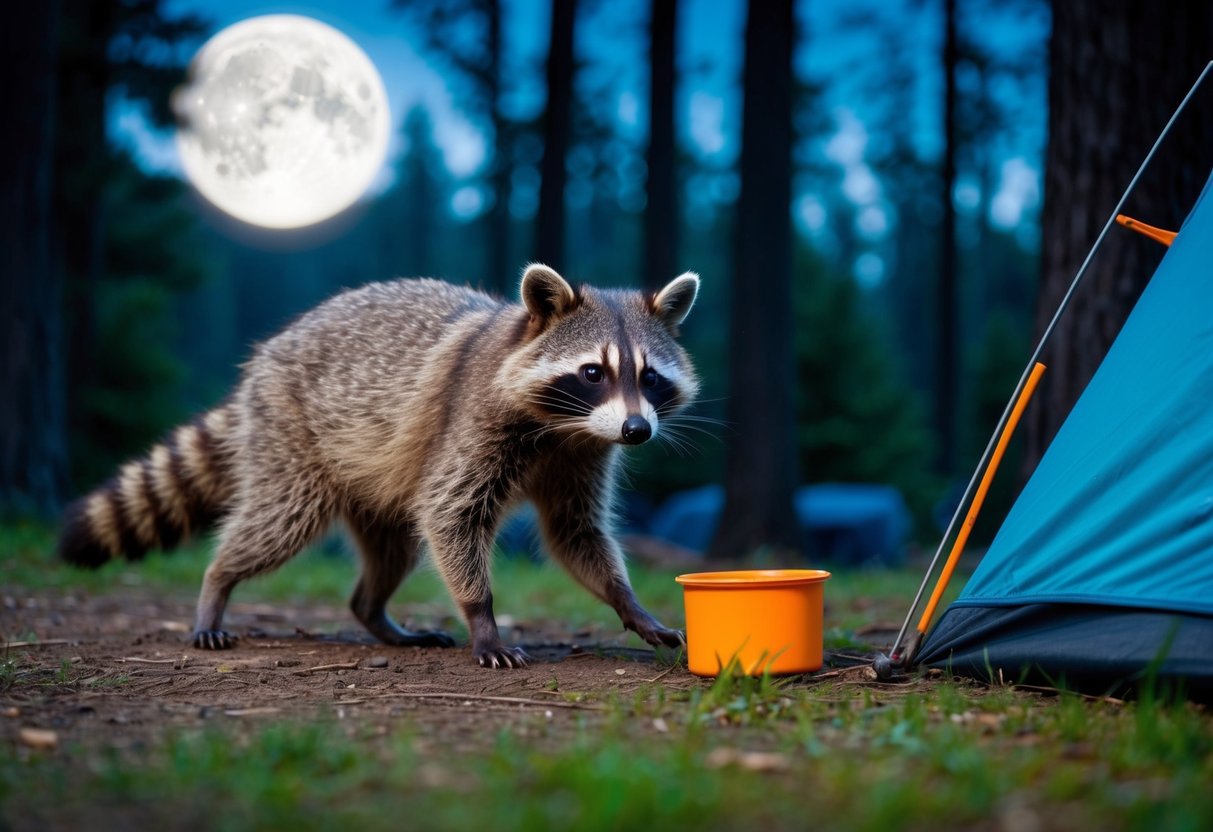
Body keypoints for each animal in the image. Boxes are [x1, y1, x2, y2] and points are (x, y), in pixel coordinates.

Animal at [59, 264, 700, 669]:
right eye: (593, 372)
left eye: (649, 377)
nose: (637, 431)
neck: (563, 426)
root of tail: (265, 359)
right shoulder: (472, 422)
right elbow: (450, 514)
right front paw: (483, 618)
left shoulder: (581, 454)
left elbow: (574, 532)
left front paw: (629, 602)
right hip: (292, 439)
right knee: (276, 524)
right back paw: (217, 583)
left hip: (374, 480)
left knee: (394, 549)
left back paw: (375, 614)